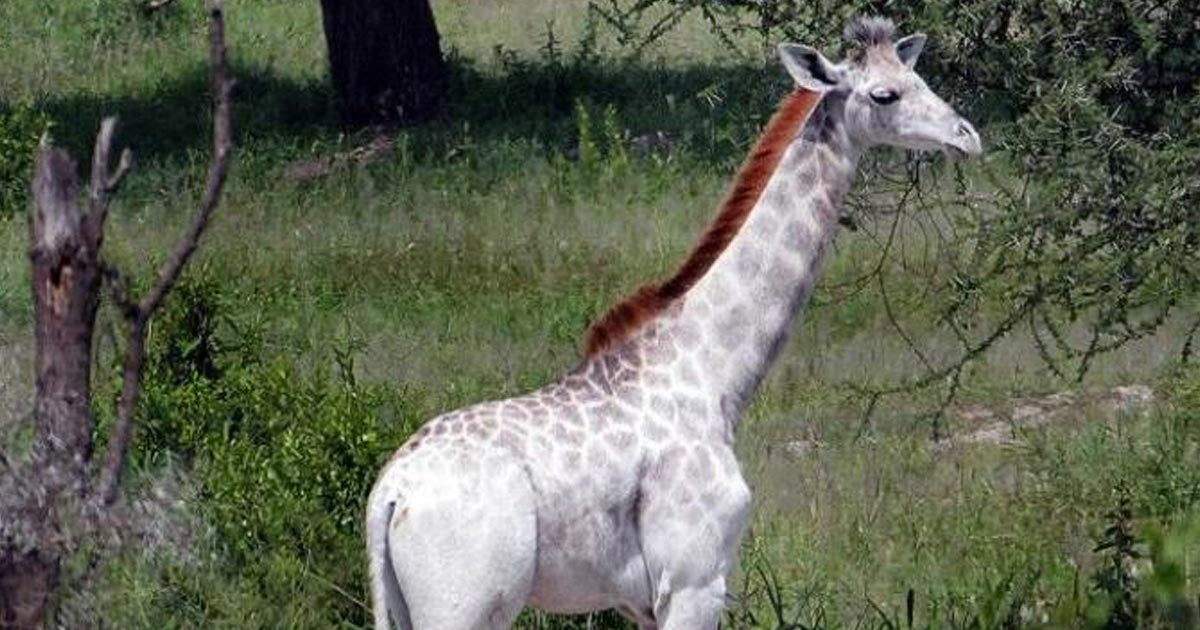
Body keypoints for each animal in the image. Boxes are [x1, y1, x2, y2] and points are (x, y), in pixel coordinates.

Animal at [366, 16, 981, 630]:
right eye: (885, 94)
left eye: (919, 76)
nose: (967, 135)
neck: (712, 374)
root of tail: (389, 496)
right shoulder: (694, 579)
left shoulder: (640, 600)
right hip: (463, 606)